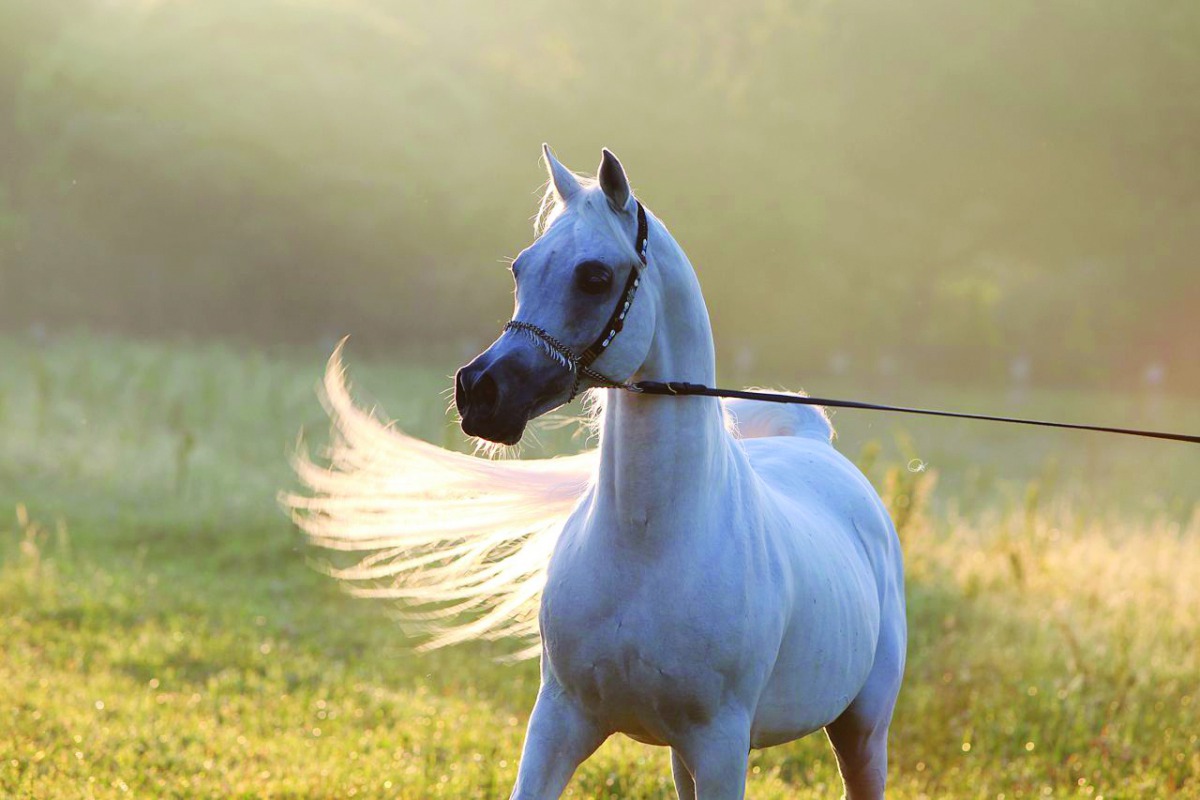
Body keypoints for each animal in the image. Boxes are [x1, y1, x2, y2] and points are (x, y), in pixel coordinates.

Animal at [288, 146, 906, 800]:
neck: (648, 546)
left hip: (862, 732)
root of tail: (816, 443)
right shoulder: (560, 721)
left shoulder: (722, 748)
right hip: (683, 756)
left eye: (594, 277)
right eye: (520, 268)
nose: (480, 392)